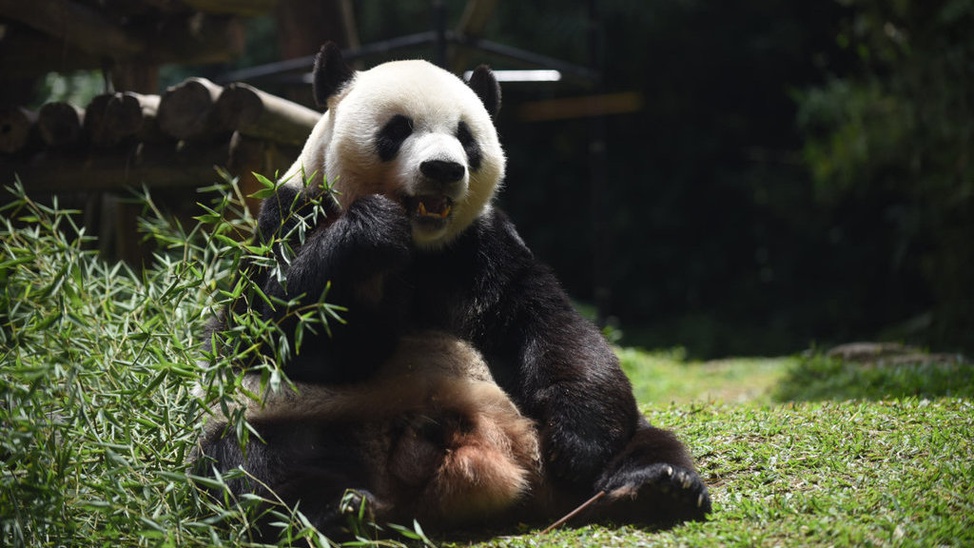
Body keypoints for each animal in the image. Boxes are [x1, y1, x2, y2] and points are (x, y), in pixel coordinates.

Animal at [197, 42, 711, 537]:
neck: (422, 245)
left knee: (646, 438)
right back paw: (339, 510)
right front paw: (371, 231)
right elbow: (284, 337)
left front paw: (578, 446)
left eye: (466, 136)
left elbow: (551, 325)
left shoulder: (485, 245)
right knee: (250, 465)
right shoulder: (289, 217)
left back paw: (656, 487)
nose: (443, 168)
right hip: (290, 417)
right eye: (398, 129)